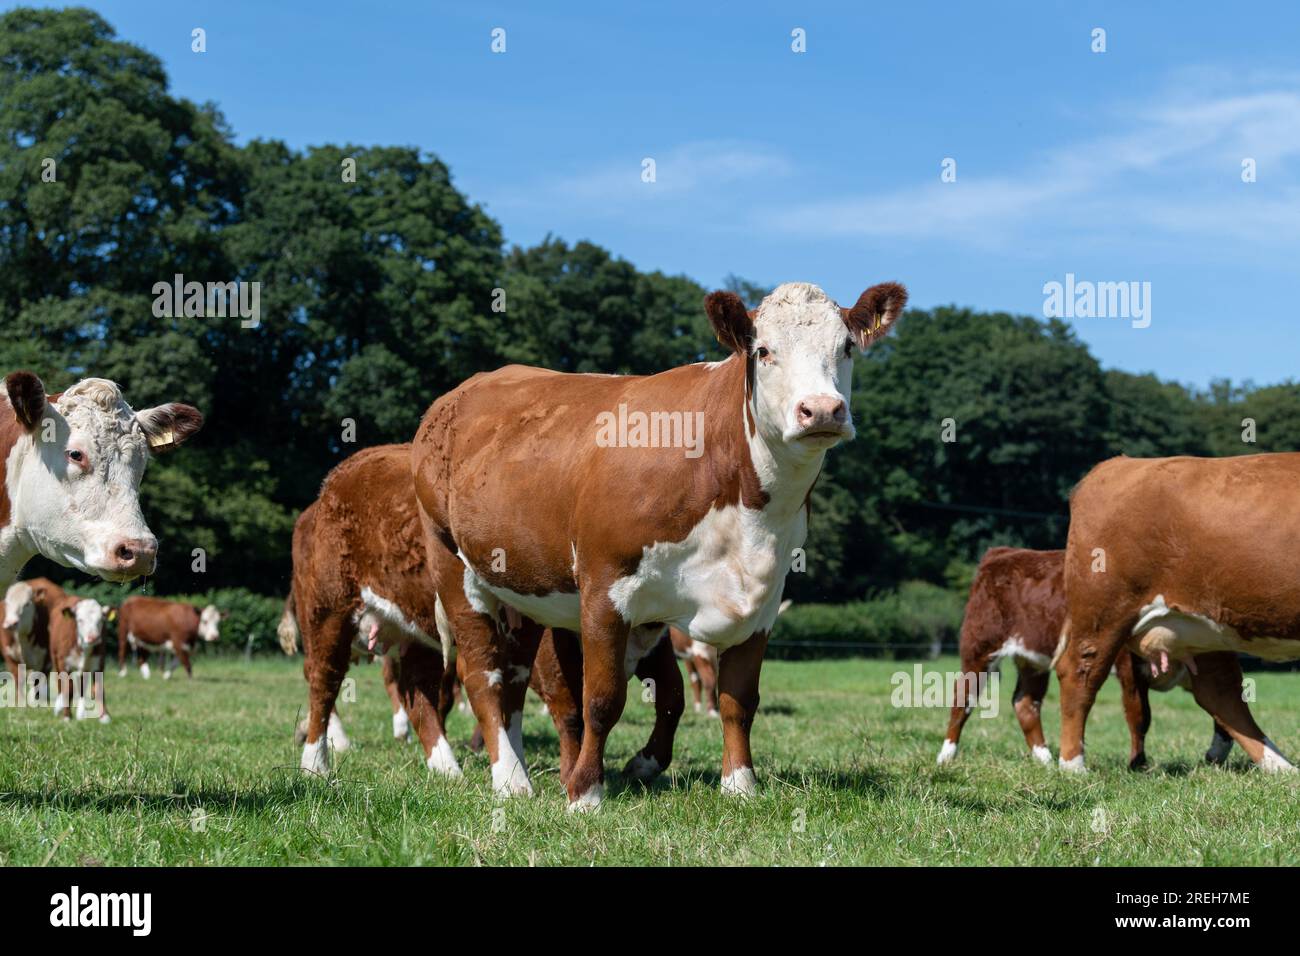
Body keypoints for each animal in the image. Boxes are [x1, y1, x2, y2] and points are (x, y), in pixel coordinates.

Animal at [47, 594, 111, 722]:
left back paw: (81, 714)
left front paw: (105, 717)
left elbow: (98, 689)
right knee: (60, 682)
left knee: (82, 684)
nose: (93, 637)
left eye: (100, 620)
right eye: (80, 620)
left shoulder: (99, 662)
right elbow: (68, 689)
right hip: (55, 657)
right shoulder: (64, 662)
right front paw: (67, 716)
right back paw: (59, 707)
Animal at [412, 280, 907, 809]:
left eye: (847, 347)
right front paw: (585, 794)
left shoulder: (758, 602)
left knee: (520, 680)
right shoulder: (606, 590)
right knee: (483, 676)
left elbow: (729, 699)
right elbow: (602, 698)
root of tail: (452, 398)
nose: (822, 410)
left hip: (526, 589)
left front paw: (737, 784)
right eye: (764, 351)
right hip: (452, 565)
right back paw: (509, 778)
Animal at [938, 547, 1240, 769]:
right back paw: (946, 755)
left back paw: (1045, 759)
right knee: (963, 698)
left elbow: (1224, 713)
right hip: (980, 646)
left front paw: (1216, 754)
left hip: (1033, 660)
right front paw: (1138, 764)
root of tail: (1003, 553)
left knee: (1025, 702)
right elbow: (1139, 715)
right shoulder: (1129, 667)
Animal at [1057, 453, 1300, 773]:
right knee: (1079, 673)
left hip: (1206, 628)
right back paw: (1073, 766)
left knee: (1219, 693)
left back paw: (1282, 768)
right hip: (1103, 612)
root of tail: (1118, 464)